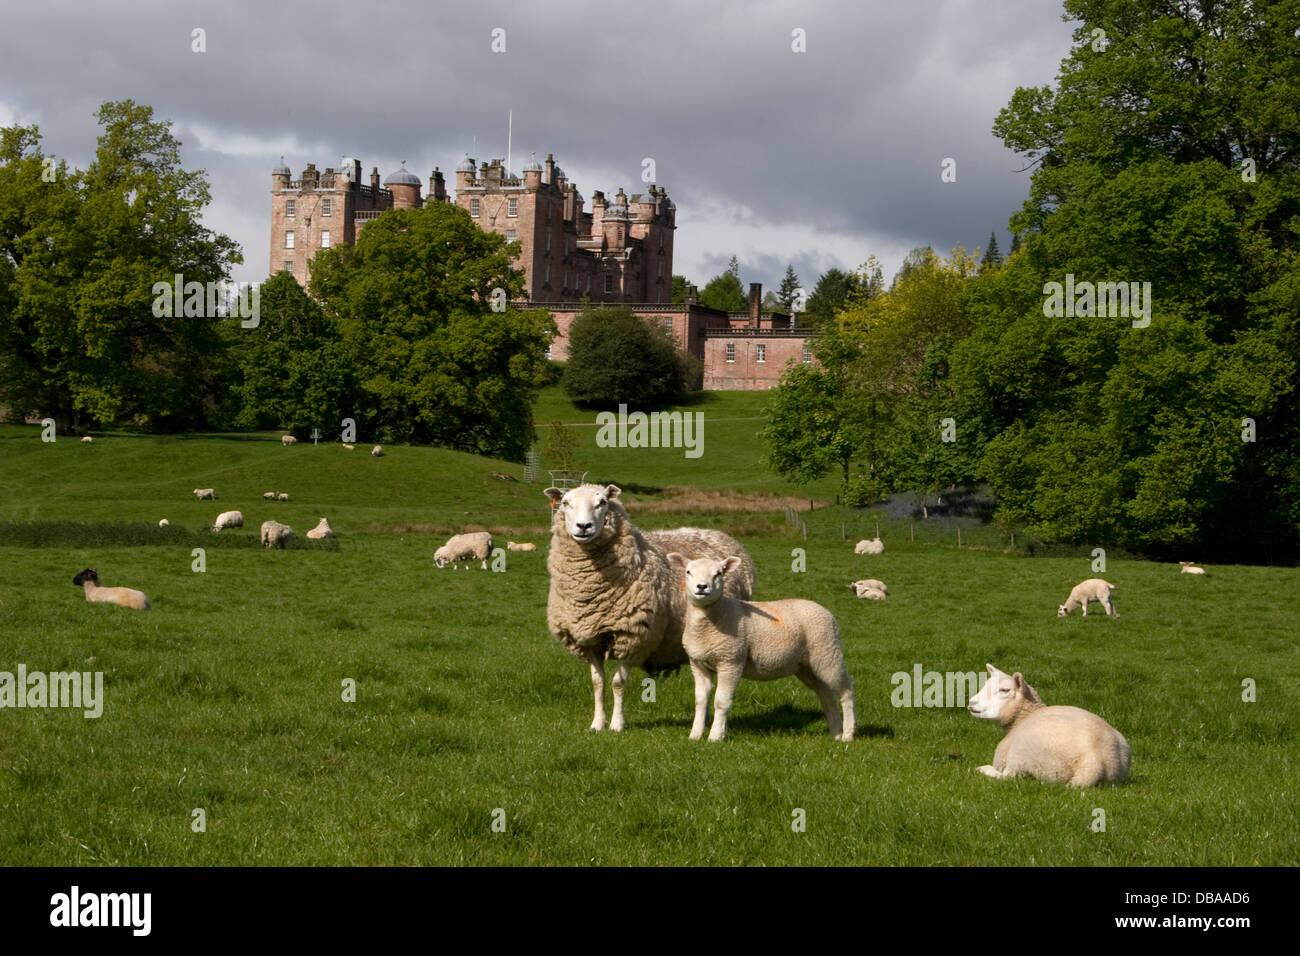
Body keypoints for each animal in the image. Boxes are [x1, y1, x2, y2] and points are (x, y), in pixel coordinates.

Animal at [545, 482, 756, 733]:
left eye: (602, 502)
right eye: (566, 502)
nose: (584, 526)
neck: (589, 589)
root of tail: (720, 535)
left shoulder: (633, 636)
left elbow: (618, 684)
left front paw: (617, 724)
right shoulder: (589, 641)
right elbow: (598, 684)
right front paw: (597, 724)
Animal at [668, 553, 854, 742]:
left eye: (718, 574)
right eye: (688, 571)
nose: (702, 587)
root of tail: (825, 611)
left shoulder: (731, 661)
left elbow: (721, 701)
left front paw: (715, 736)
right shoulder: (698, 664)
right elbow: (700, 700)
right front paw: (695, 735)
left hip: (827, 651)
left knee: (846, 688)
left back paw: (848, 733)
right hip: (807, 665)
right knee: (826, 694)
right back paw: (836, 732)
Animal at [967, 663, 1130, 787]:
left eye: (1004, 690)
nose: (971, 702)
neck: (1024, 717)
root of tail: (1095, 759)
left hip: (1025, 756)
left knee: (1009, 777)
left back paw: (983, 769)